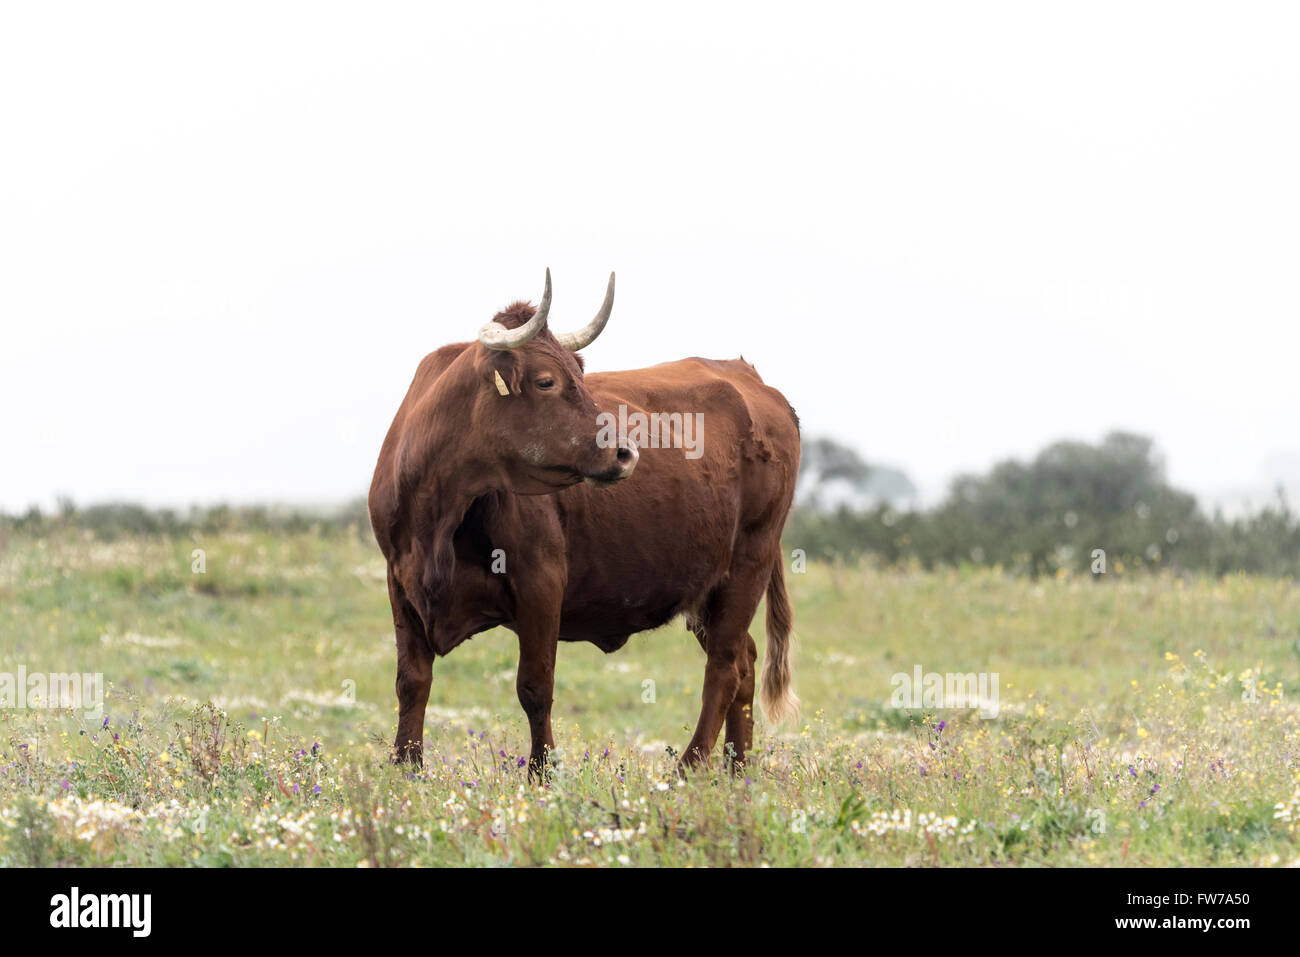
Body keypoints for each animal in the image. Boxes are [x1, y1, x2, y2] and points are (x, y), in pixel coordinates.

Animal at [368, 270, 801, 777]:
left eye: (580, 374)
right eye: (546, 381)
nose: (625, 452)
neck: (439, 513)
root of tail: (750, 380)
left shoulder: (541, 579)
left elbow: (535, 687)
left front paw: (541, 774)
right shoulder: (400, 581)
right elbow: (412, 681)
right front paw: (405, 768)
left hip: (749, 562)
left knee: (725, 666)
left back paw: (688, 769)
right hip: (705, 586)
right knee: (745, 661)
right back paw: (737, 773)